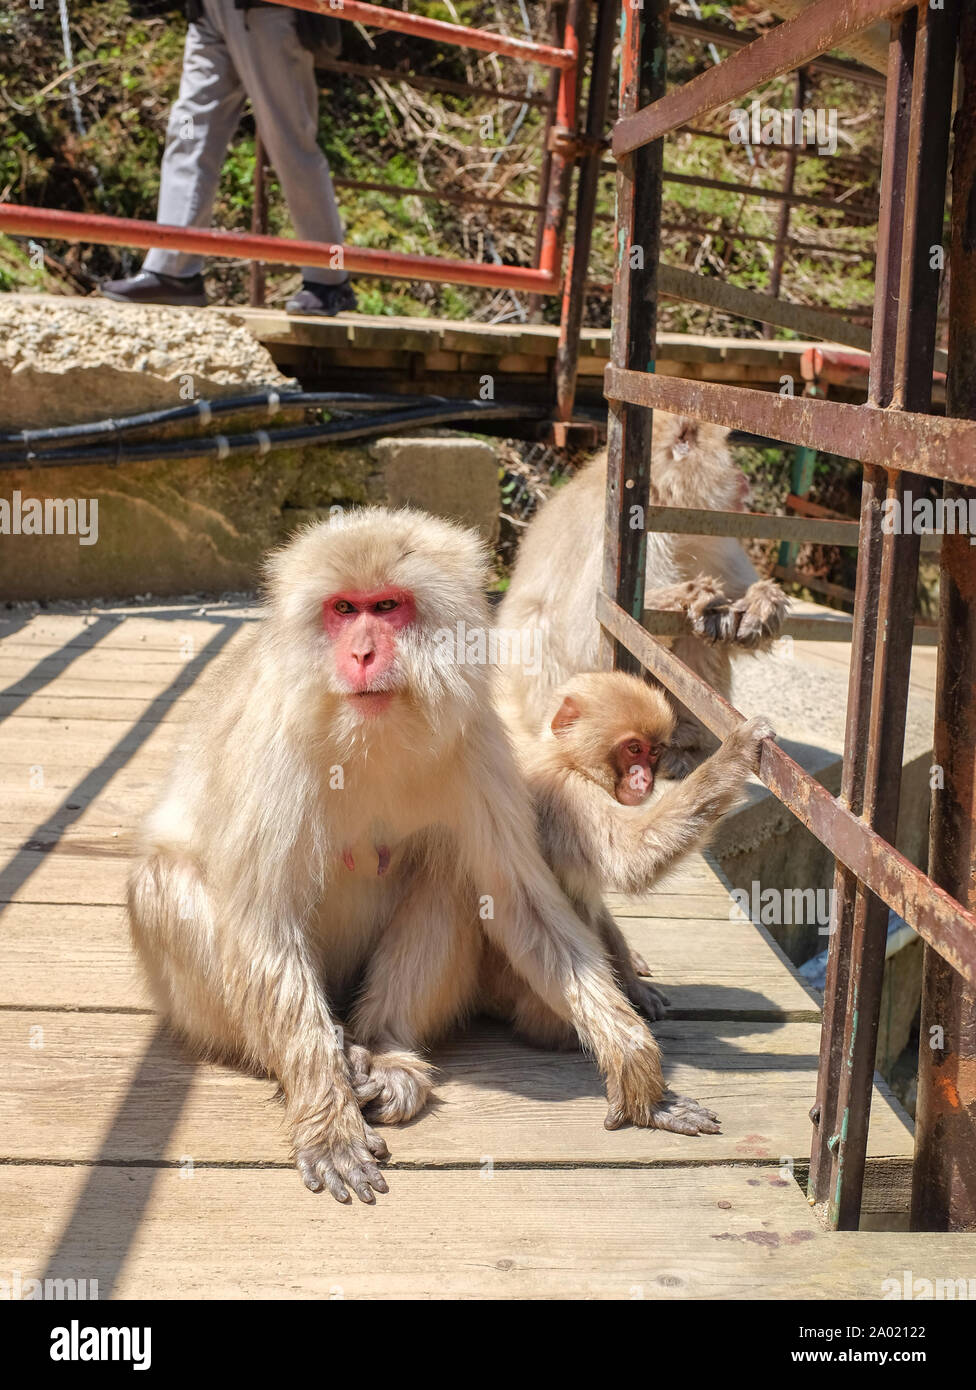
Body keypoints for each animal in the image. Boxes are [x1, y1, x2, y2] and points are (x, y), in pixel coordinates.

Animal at [128, 507, 723, 1206]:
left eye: (386, 606)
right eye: (343, 608)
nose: (361, 653)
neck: (374, 731)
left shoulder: (480, 745)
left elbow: (518, 903)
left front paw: (637, 1070)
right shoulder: (271, 742)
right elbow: (263, 918)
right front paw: (328, 1125)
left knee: (452, 874)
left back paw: (383, 1056)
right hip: (197, 1008)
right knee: (165, 880)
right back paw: (332, 1056)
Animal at [496, 412, 790, 778]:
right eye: (732, 462)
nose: (745, 480)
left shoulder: (714, 539)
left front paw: (762, 603)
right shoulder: (623, 533)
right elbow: (592, 634)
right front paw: (688, 596)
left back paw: (686, 741)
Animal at [512, 670, 774, 1027]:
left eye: (654, 752)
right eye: (633, 748)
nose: (645, 779)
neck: (569, 760)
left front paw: (633, 983)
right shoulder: (571, 797)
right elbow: (633, 857)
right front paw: (738, 748)